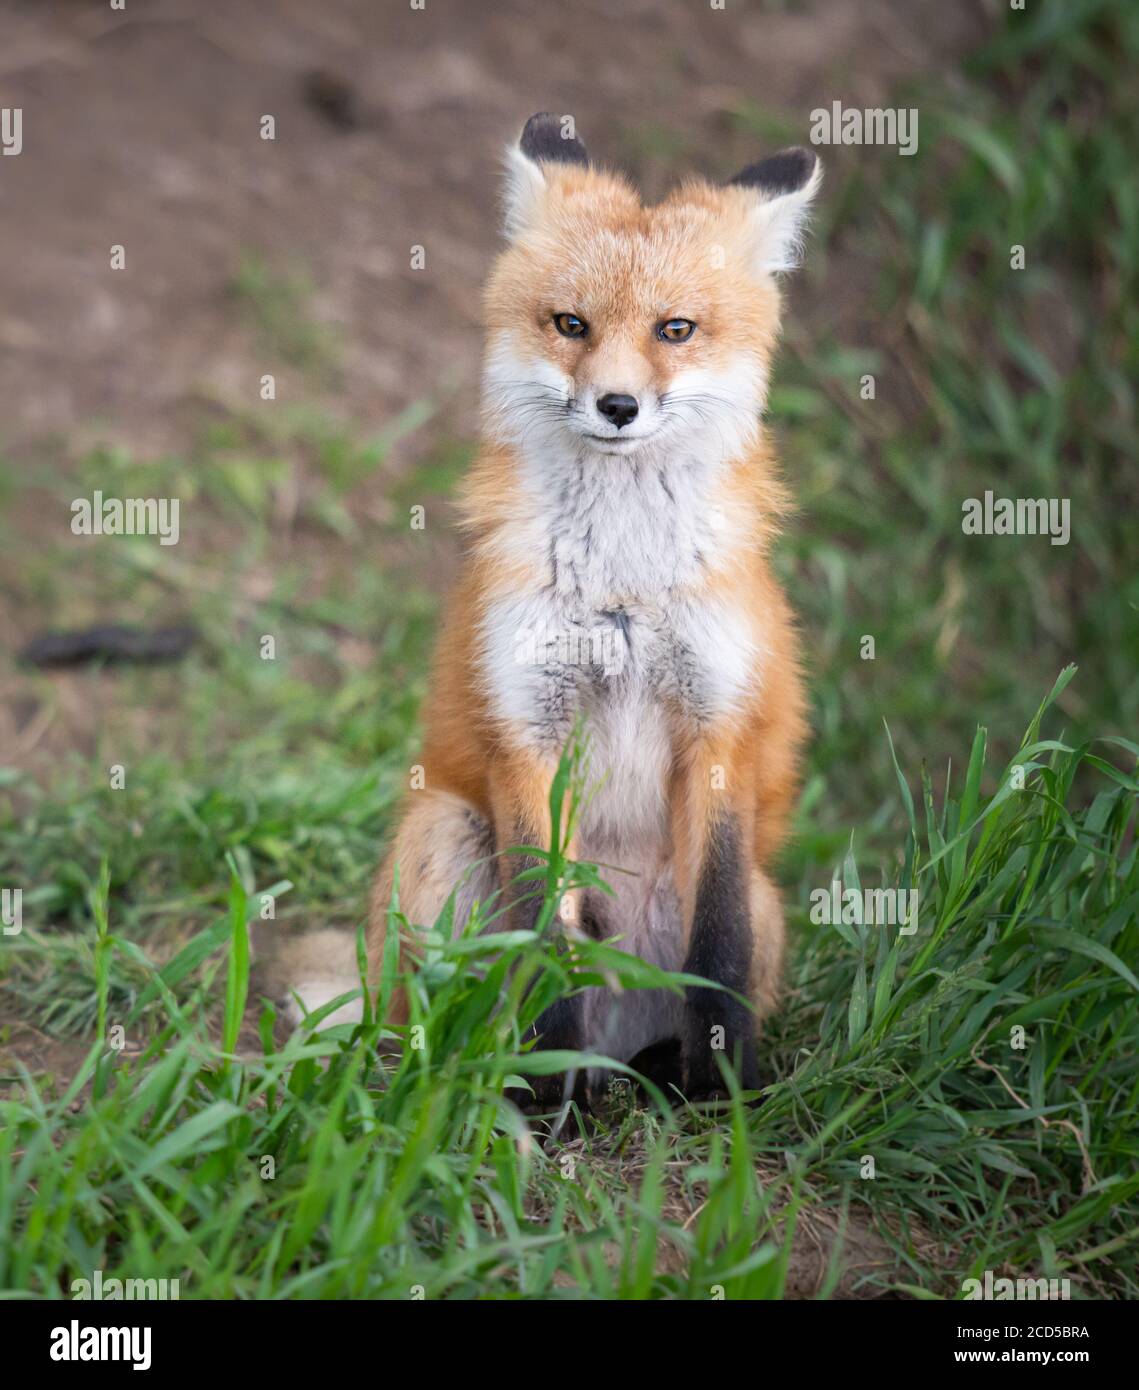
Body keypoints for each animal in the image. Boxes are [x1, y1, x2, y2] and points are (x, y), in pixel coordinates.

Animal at [366, 113, 818, 1104]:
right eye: (571, 324)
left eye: (674, 329)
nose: (617, 406)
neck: (622, 588)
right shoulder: (527, 733)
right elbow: (543, 937)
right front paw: (545, 1096)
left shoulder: (718, 730)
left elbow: (717, 949)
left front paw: (721, 1094)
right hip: (444, 833)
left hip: (767, 897)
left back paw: (654, 1078)